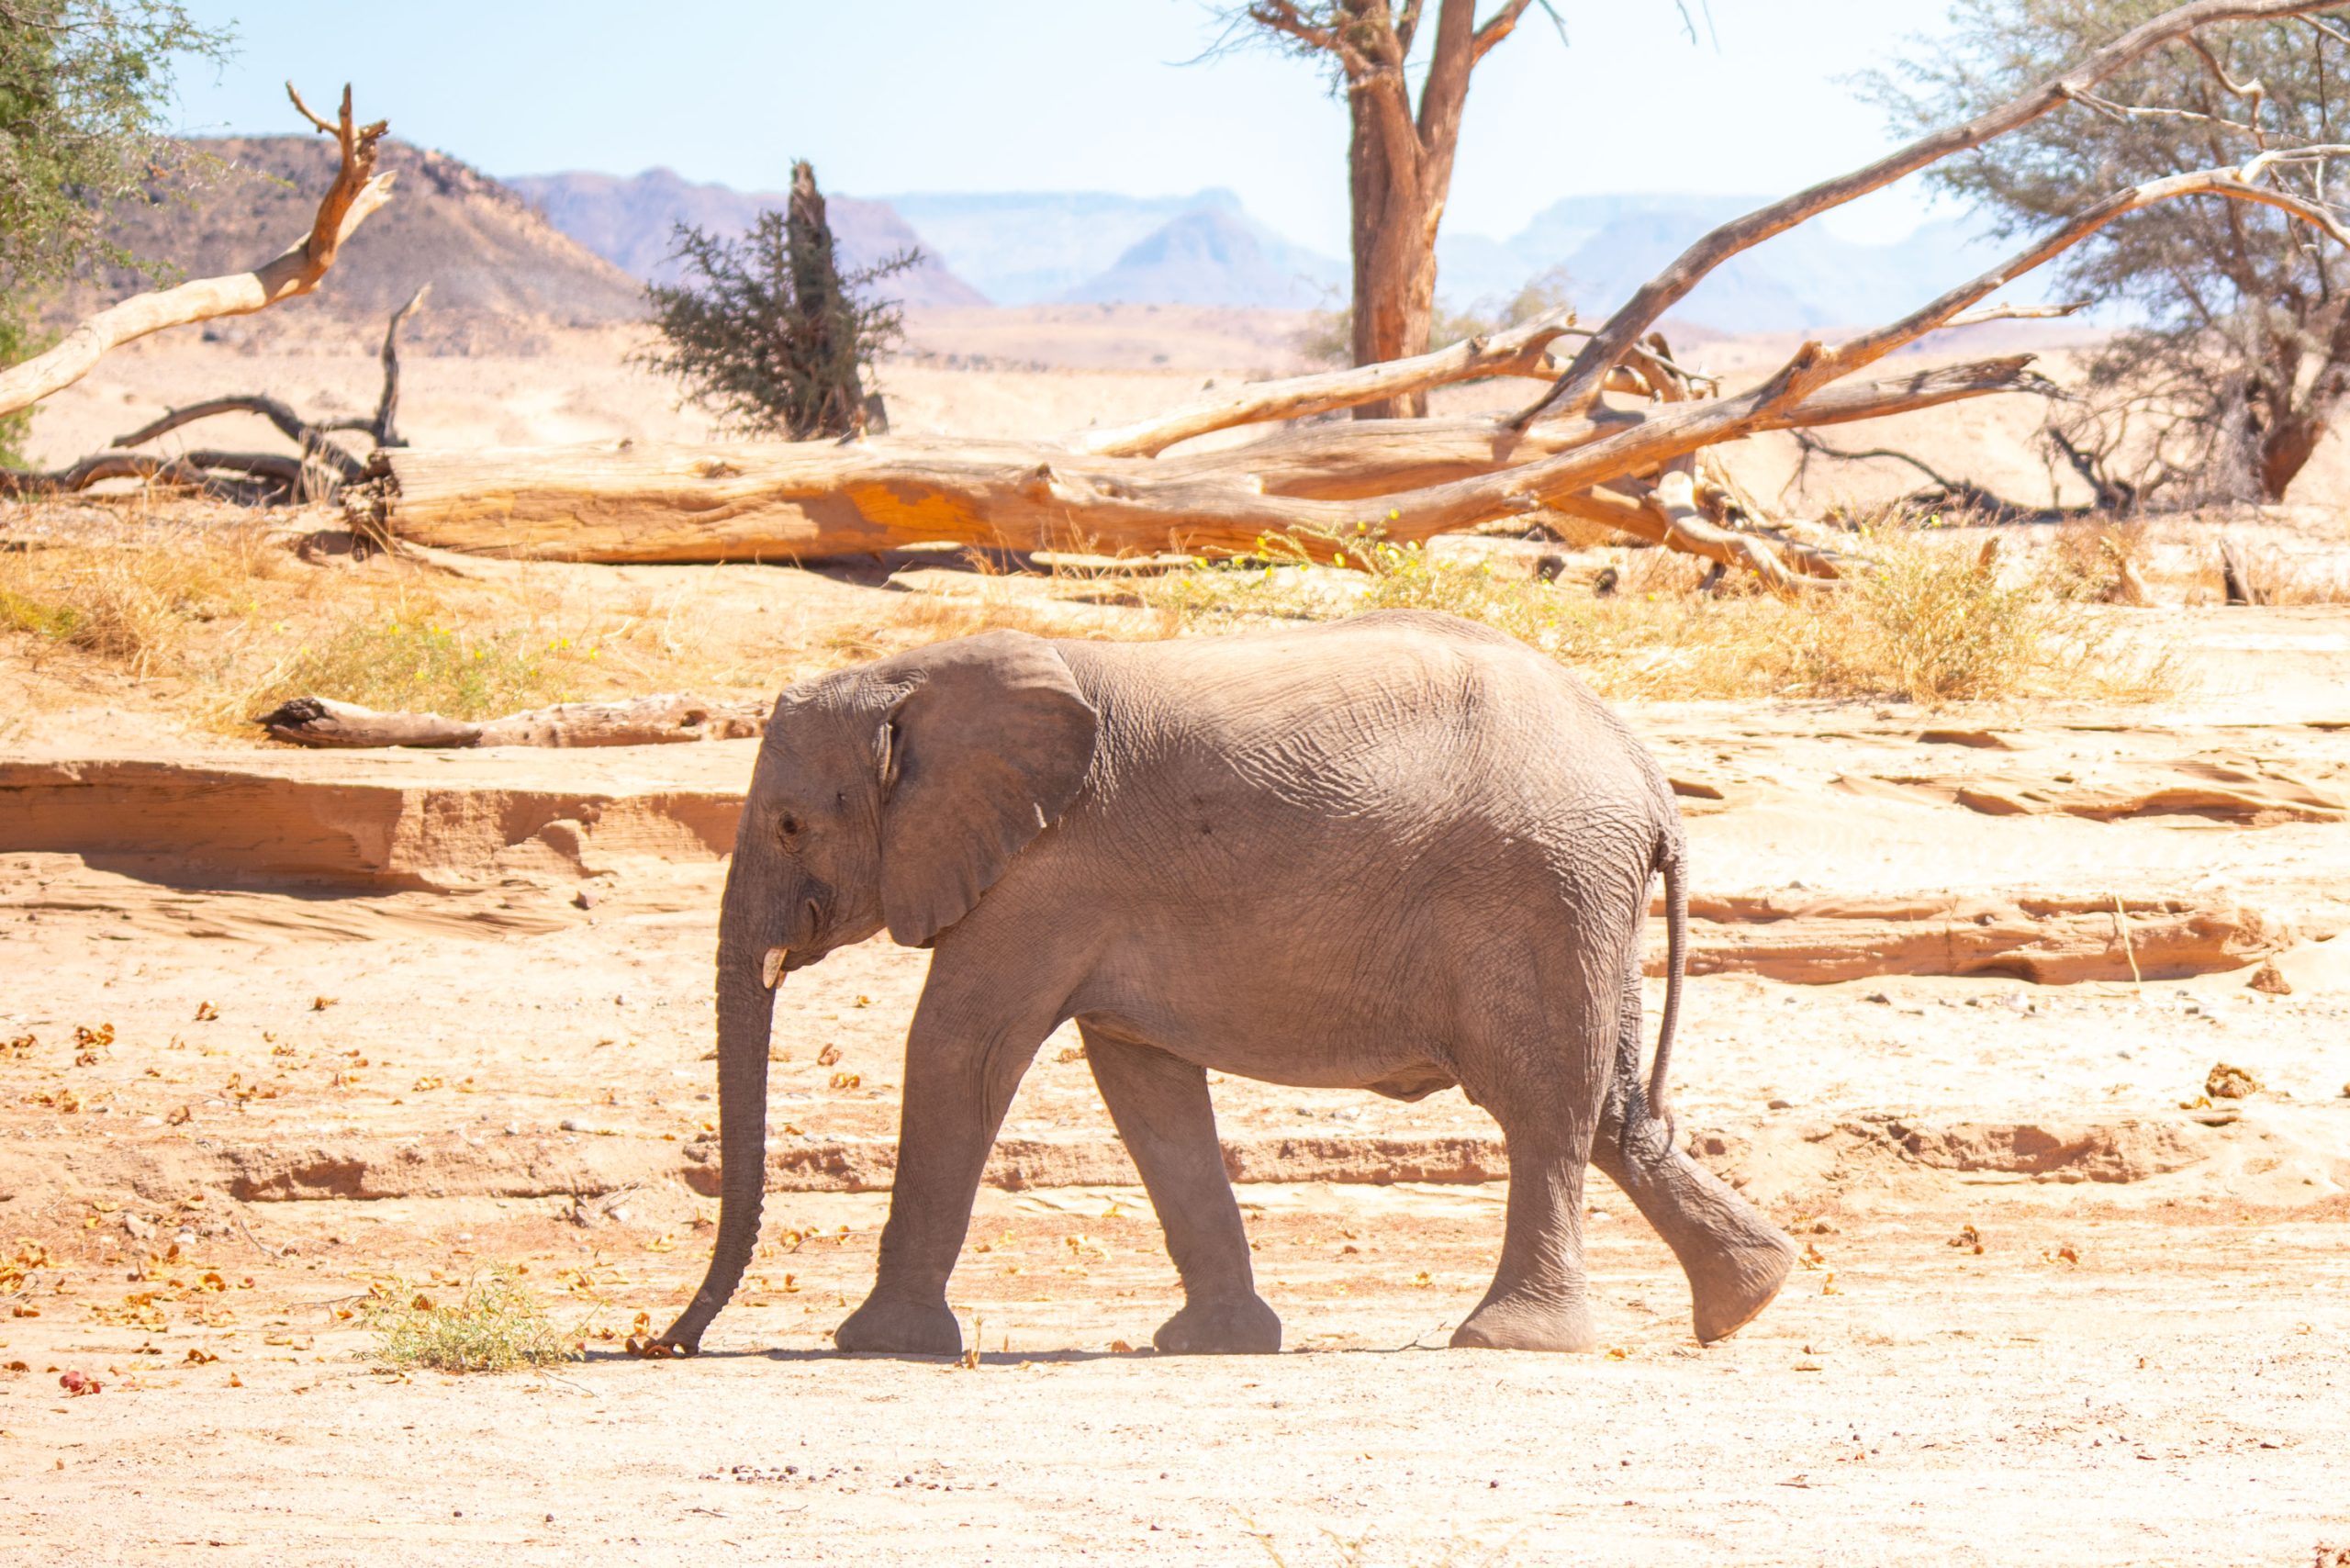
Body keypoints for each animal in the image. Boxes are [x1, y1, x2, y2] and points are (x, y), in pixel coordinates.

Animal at [661, 609, 1795, 1357]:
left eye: (790, 825)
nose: (668, 1340)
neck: (914, 676)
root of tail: (1647, 775)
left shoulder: (1042, 874)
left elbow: (960, 1049)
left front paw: (877, 1343)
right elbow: (1143, 1081)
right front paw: (1214, 1342)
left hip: (1542, 886)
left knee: (1544, 1101)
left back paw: (1508, 1341)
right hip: (1578, 900)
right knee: (1612, 1108)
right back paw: (1747, 1300)